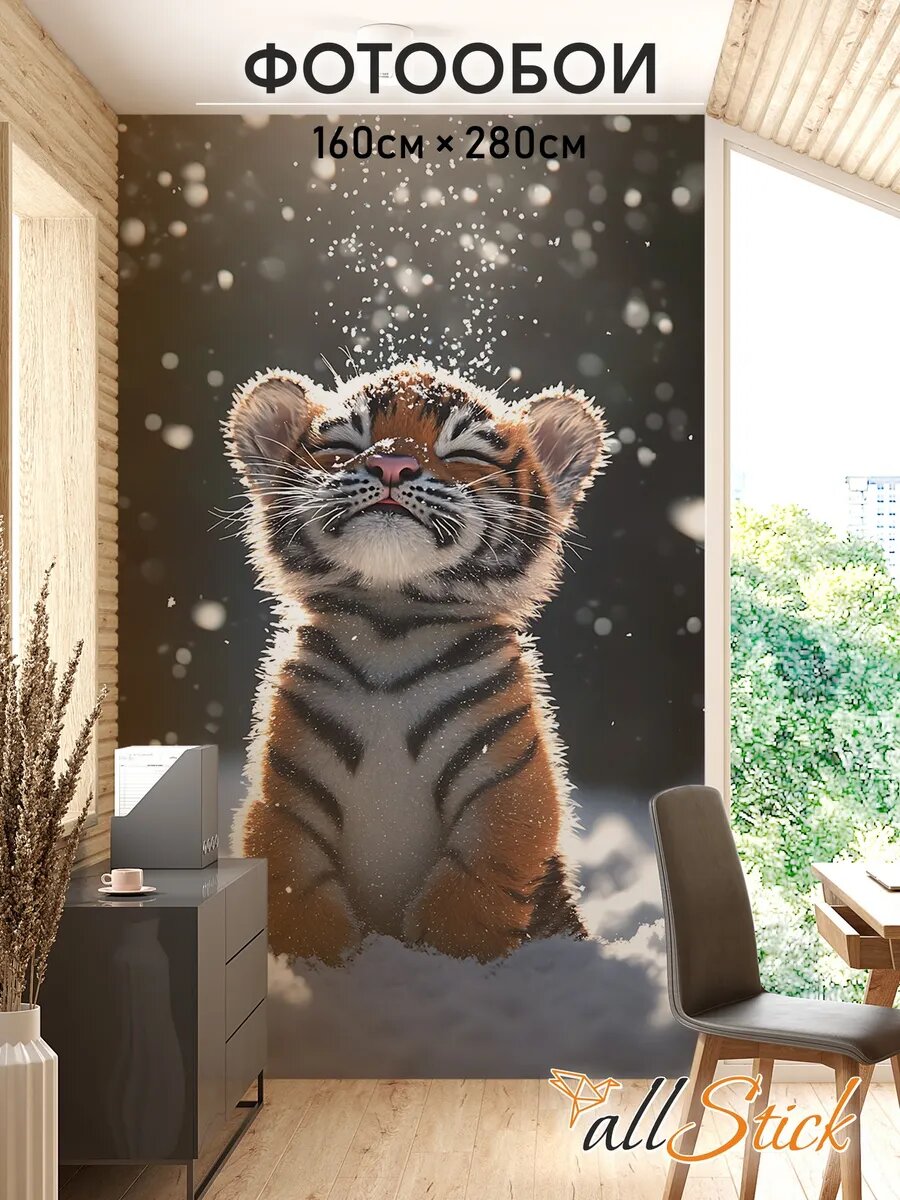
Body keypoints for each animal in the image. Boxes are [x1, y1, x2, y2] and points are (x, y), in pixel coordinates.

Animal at [227, 360, 608, 964]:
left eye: (464, 450)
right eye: (346, 442)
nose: (390, 463)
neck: (392, 624)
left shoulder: (508, 788)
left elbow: (471, 891)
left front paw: (447, 964)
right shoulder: (284, 800)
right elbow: (298, 897)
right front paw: (323, 968)